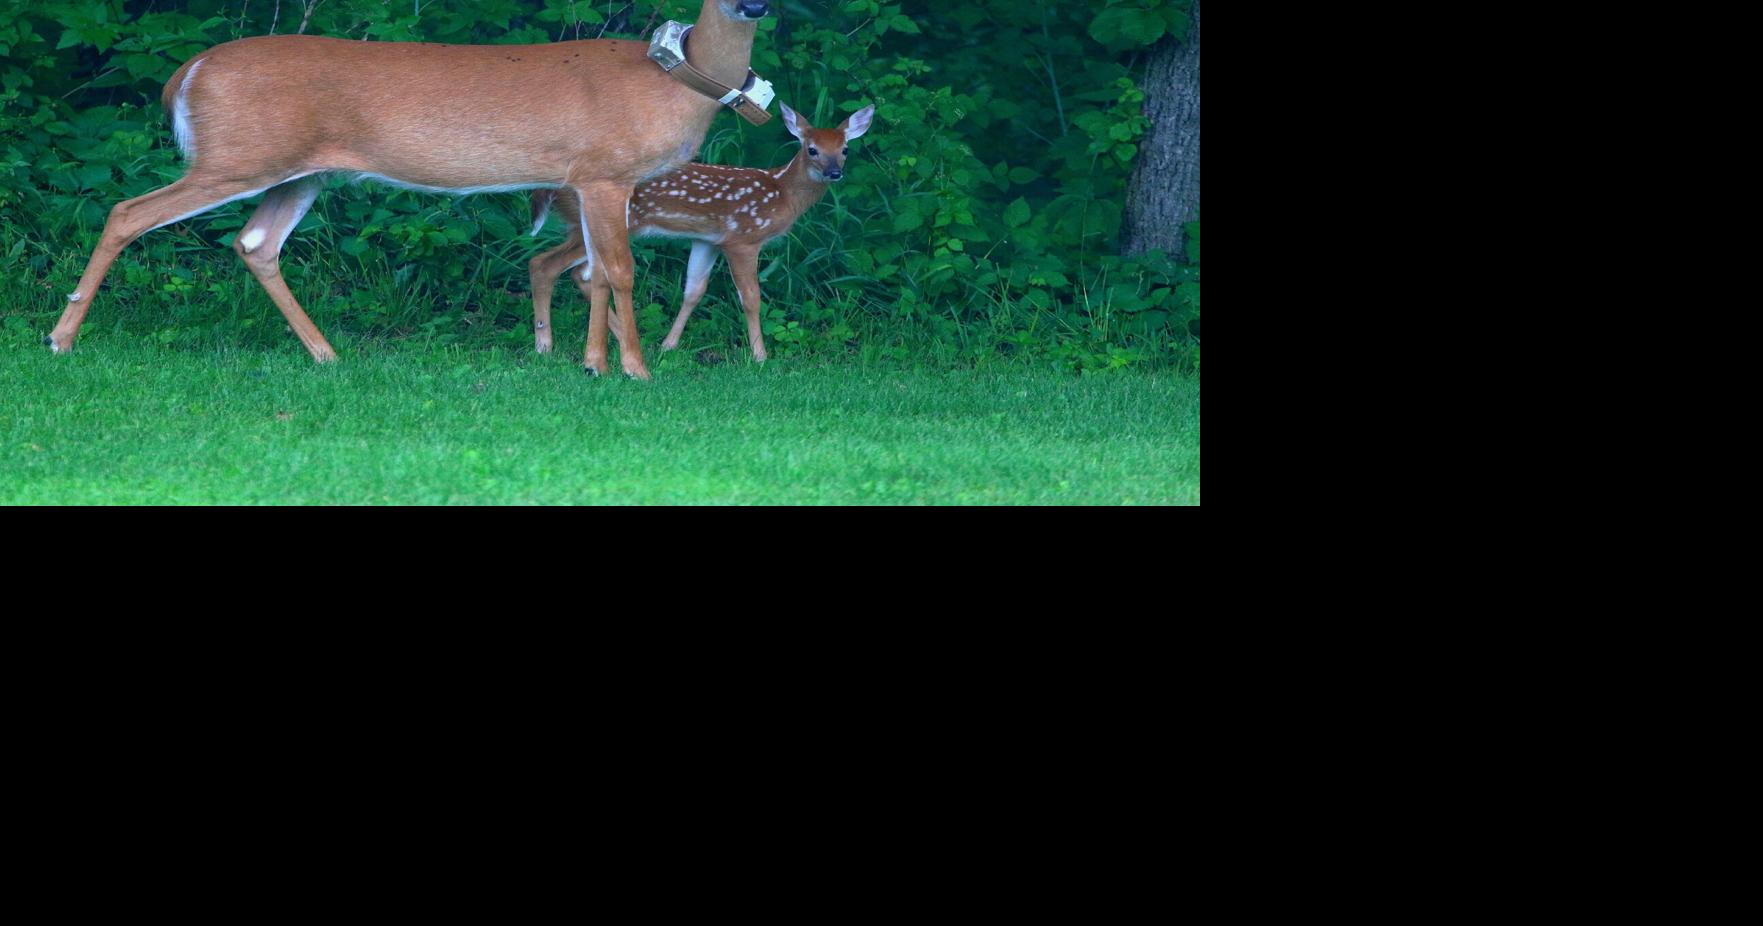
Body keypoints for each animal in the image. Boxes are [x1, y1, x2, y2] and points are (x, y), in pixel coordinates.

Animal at [44, 1, 775, 380]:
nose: (755, 5)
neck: (678, 82)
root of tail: (186, 74)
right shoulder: (605, 171)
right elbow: (618, 271)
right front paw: (633, 369)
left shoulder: (591, 180)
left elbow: (593, 272)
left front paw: (591, 363)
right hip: (237, 158)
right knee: (128, 211)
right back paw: (61, 338)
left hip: (300, 173)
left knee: (254, 242)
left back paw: (326, 353)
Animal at [527, 102, 874, 364]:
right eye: (812, 149)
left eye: (845, 149)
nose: (834, 172)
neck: (782, 194)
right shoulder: (743, 238)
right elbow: (751, 297)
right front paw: (760, 356)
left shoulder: (707, 240)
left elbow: (694, 290)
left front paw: (668, 345)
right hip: (603, 224)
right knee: (544, 264)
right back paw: (546, 346)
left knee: (579, 272)